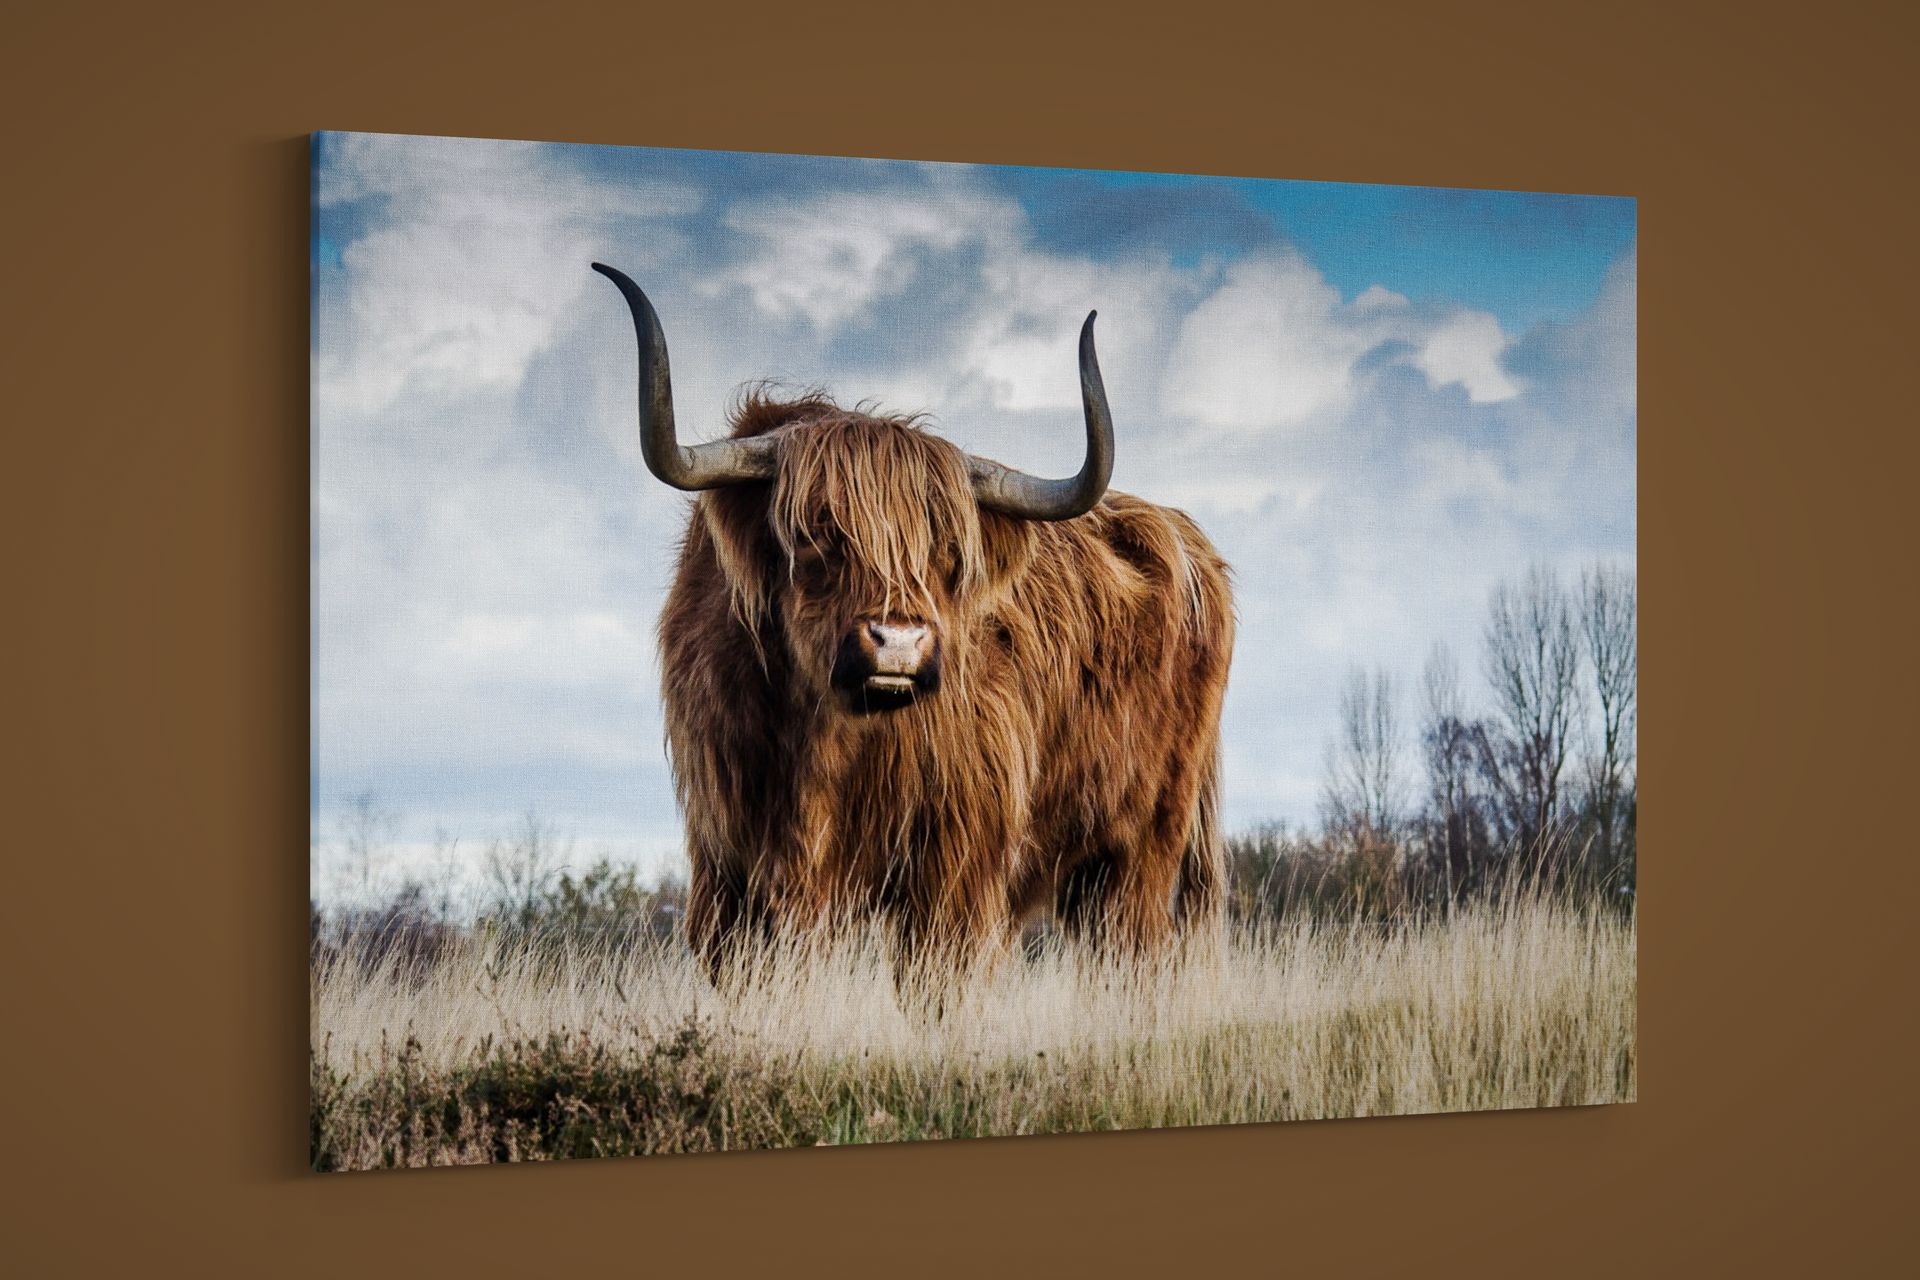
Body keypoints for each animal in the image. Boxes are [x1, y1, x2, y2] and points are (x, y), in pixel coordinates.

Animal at [593, 262, 1234, 976]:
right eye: (816, 534)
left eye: (947, 548)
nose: (897, 642)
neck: (819, 743)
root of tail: (1188, 539)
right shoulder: (728, 866)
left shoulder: (954, 867)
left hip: (1141, 849)